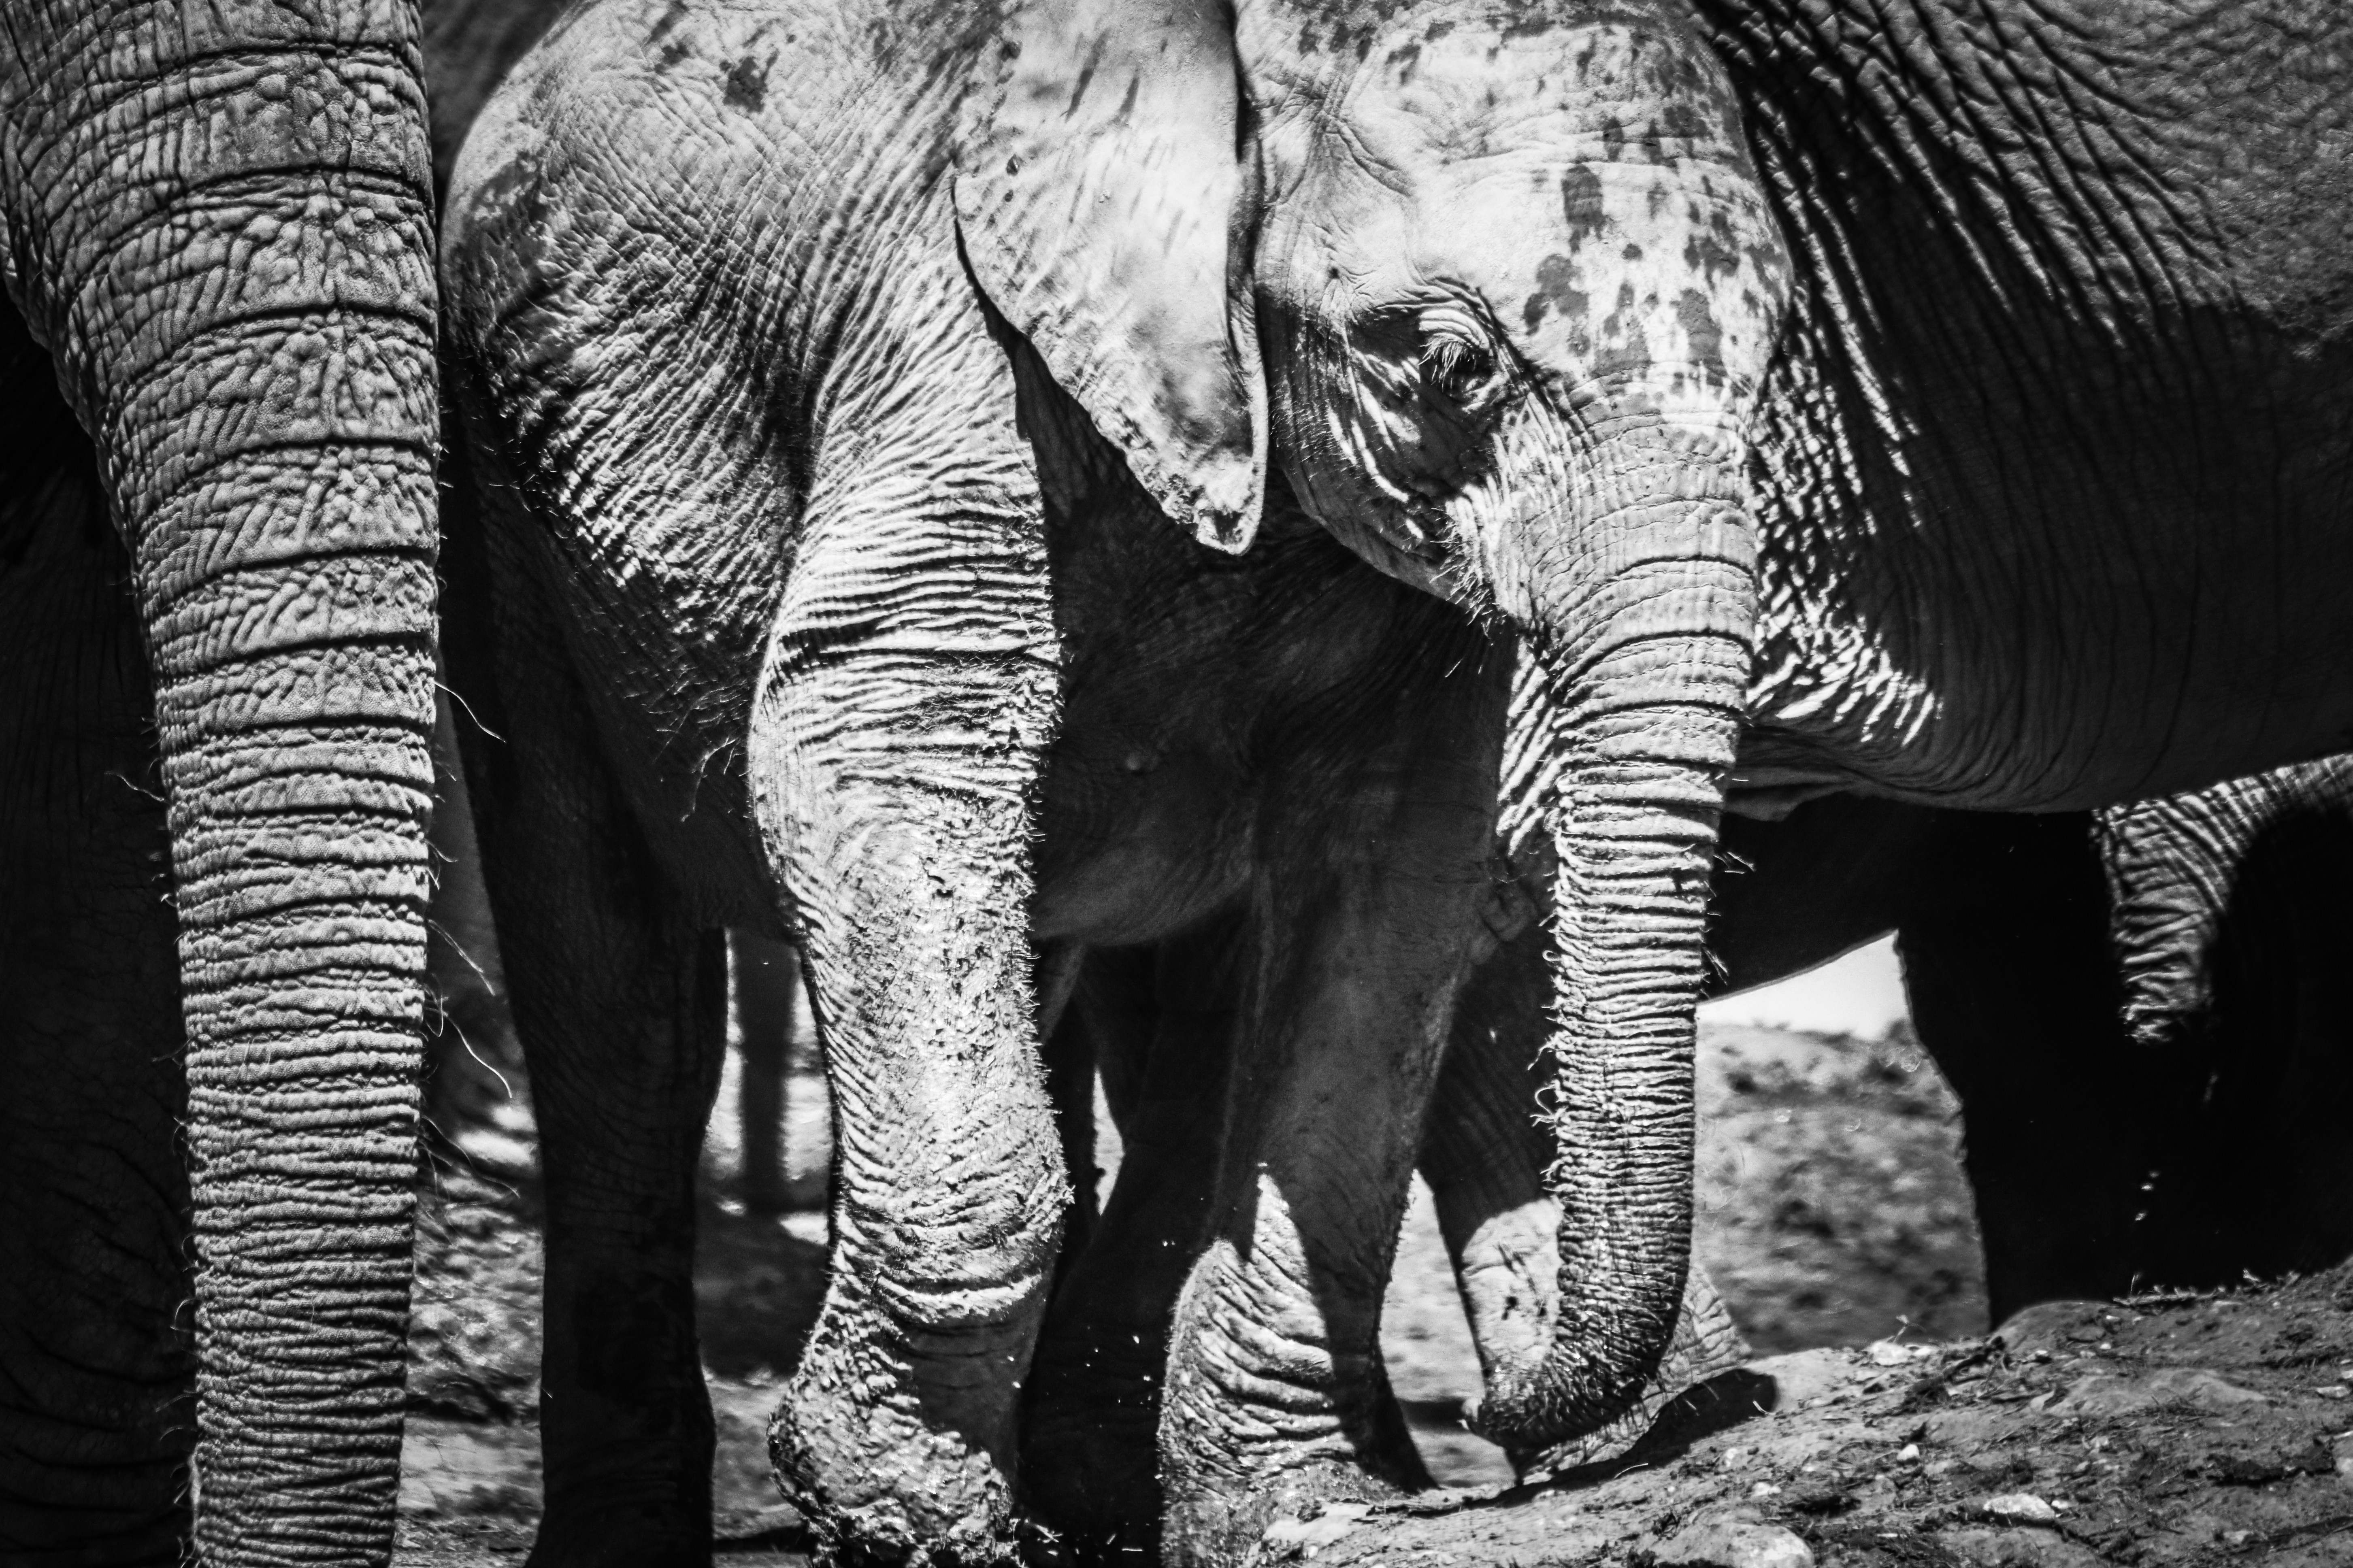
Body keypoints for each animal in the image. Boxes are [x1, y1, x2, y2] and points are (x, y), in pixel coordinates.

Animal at [438, 0, 1790, 1559]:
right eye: (1456, 363)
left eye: (1775, 370)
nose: (1500, 1421)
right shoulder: (959, 348)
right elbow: (879, 724)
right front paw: (901, 1513)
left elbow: (1393, 872)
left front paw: (1299, 1510)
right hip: (512, 492)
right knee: (619, 995)